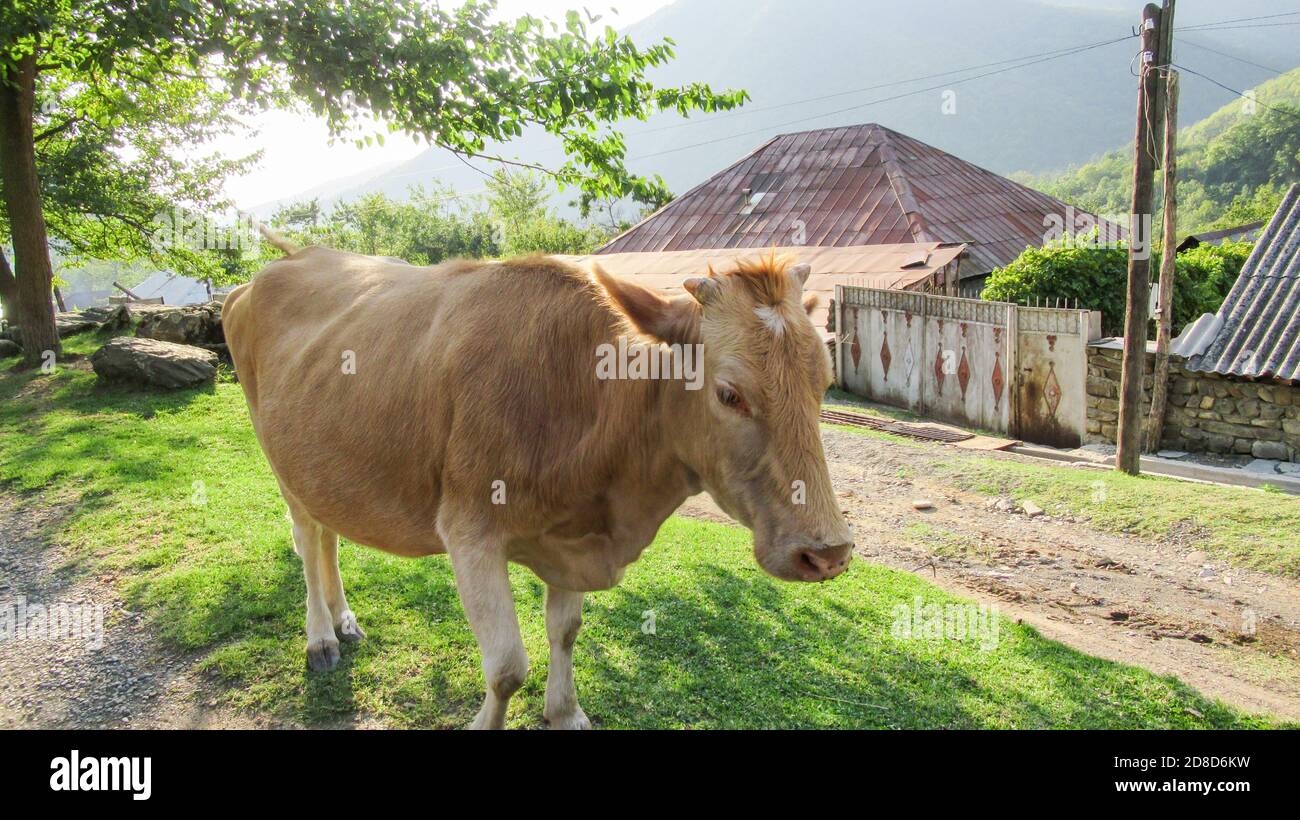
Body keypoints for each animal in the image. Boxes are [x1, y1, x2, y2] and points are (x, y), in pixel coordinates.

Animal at [222, 236, 854, 729]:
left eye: (825, 381)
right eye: (728, 394)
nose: (828, 552)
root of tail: (282, 264)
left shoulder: (574, 538)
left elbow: (566, 630)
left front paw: (565, 711)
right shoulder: (469, 529)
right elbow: (506, 668)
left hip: (321, 465)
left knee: (326, 534)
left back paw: (343, 618)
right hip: (280, 459)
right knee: (308, 542)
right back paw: (320, 637)